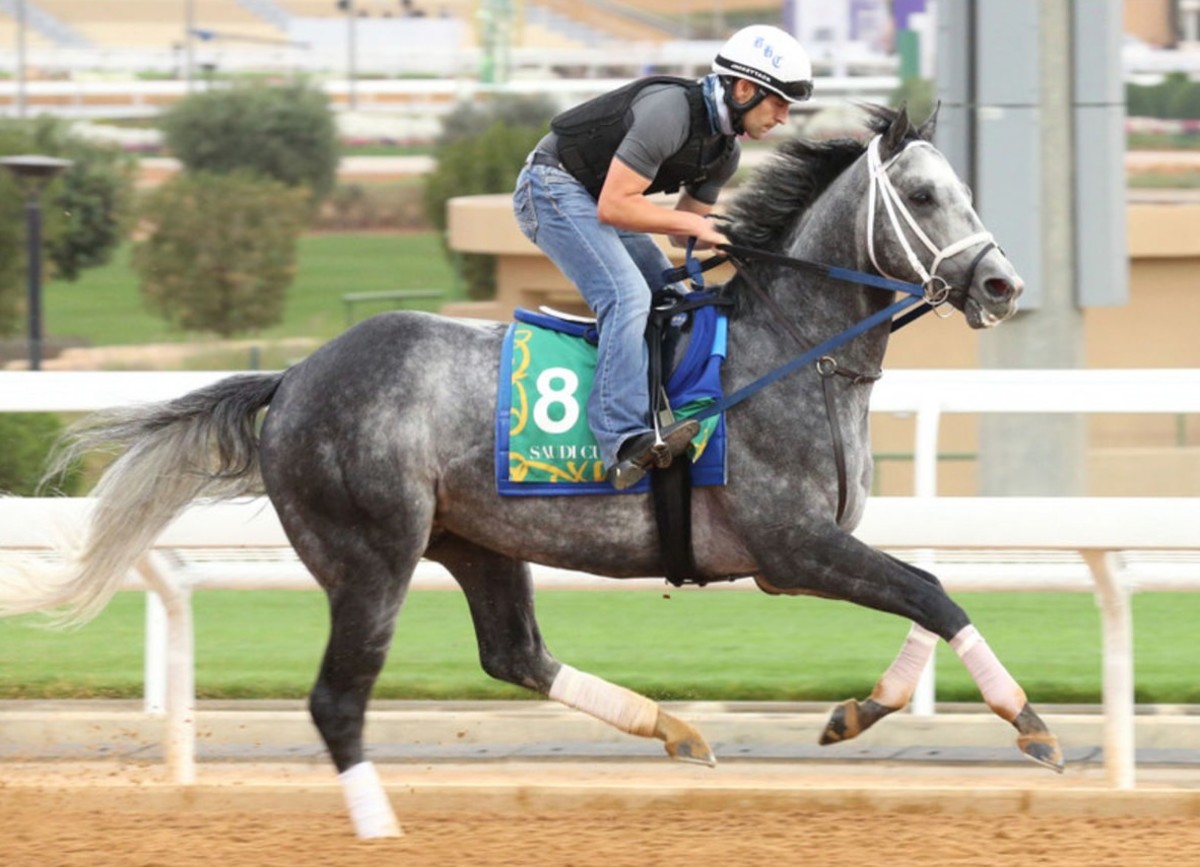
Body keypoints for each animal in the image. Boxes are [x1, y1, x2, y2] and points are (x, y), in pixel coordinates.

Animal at [1, 106, 1061, 838]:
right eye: (922, 196)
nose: (1002, 283)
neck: (791, 350)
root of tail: (296, 375)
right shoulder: (790, 546)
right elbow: (930, 590)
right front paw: (1029, 722)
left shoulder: (812, 549)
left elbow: (928, 593)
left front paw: (860, 710)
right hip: (370, 555)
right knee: (339, 699)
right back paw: (381, 826)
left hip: (477, 541)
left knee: (514, 653)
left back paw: (675, 729)